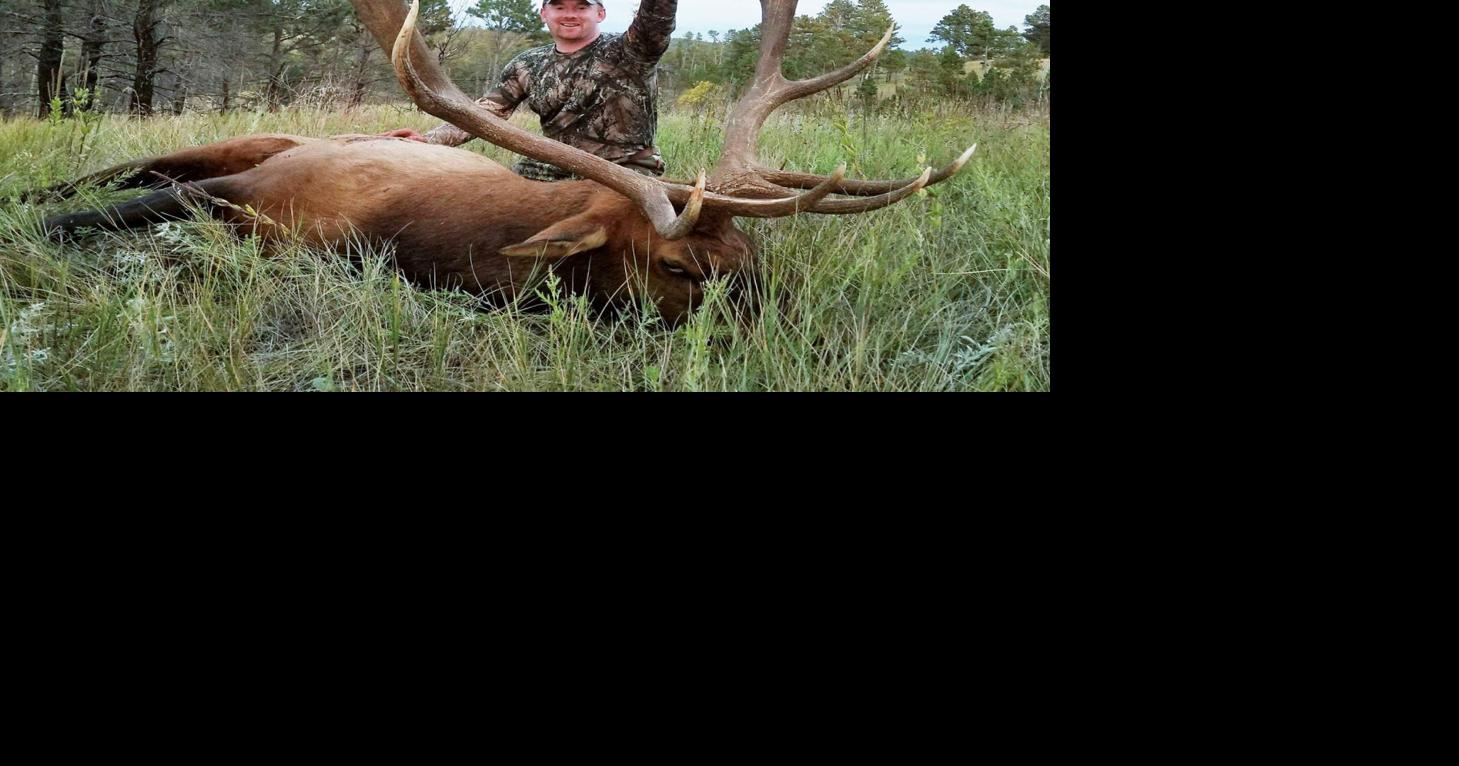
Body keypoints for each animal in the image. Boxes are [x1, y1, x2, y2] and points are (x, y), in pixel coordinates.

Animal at [35, 0, 975, 326]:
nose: (793, 328)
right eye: (679, 266)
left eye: (754, 256)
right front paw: (37, 224)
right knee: (112, 176)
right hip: (242, 146)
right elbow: (86, 216)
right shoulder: (251, 188)